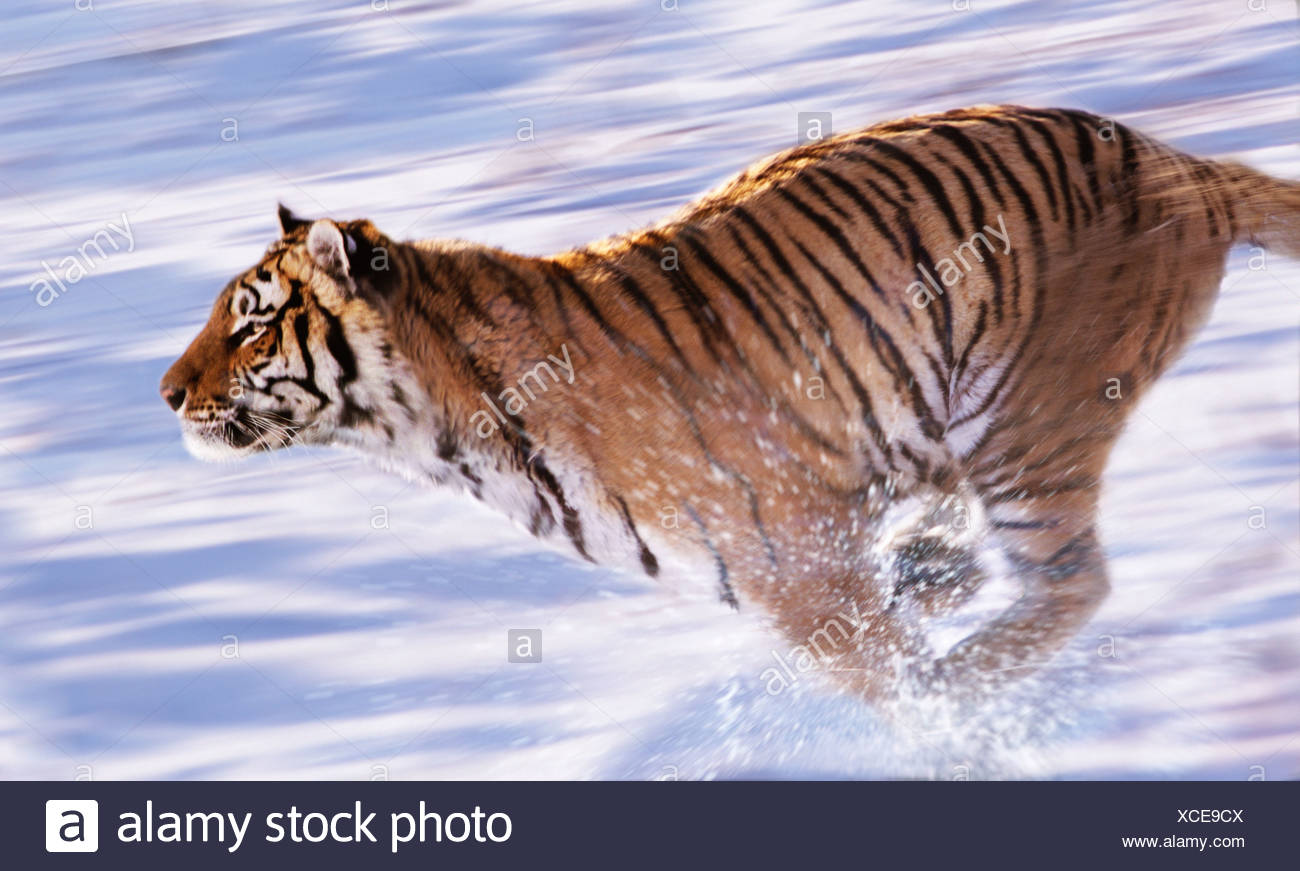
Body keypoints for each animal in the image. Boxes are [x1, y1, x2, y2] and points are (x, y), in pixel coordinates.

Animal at [160, 104, 1300, 708]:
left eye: (251, 325)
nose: (167, 392)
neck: (445, 426)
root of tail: (1170, 153)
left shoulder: (799, 566)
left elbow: (889, 681)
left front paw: (940, 726)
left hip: (1029, 422)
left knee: (1069, 582)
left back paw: (968, 667)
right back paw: (935, 576)